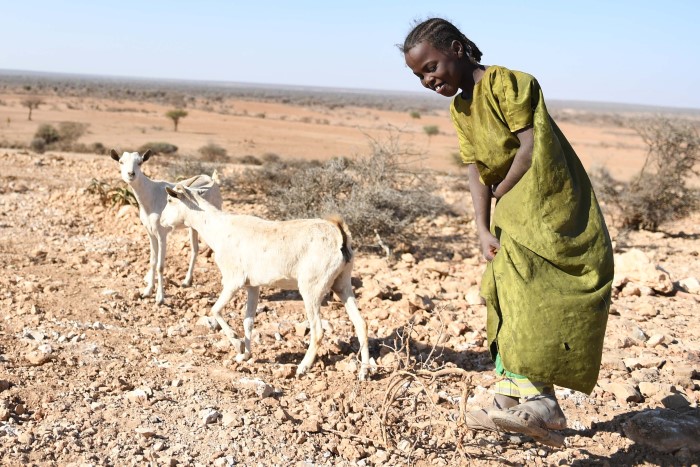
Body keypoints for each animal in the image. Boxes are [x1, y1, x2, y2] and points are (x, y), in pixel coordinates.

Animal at [109, 149, 222, 304]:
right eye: (121, 161)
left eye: (140, 162)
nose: (131, 174)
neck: (150, 196)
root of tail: (213, 180)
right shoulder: (150, 233)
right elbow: (152, 262)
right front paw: (147, 291)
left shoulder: (162, 234)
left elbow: (160, 266)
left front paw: (160, 298)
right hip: (193, 226)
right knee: (195, 249)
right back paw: (187, 281)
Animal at [160, 184, 370, 380]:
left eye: (170, 199)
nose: (162, 220)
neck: (220, 229)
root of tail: (340, 237)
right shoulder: (253, 286)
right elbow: (248, 321)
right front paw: (244, 355)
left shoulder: (233, 281)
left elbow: (214, 310)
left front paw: (238, 344)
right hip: (342, 284)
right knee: (361, 323)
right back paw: (364, 372)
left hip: (312, 289)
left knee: (318, 330)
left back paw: (302, 368)